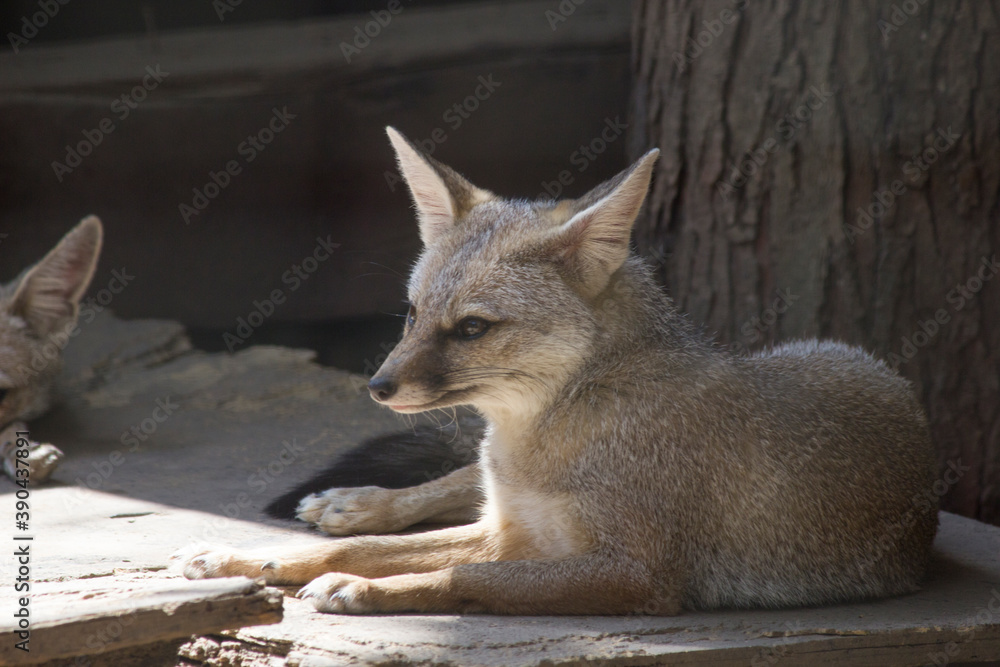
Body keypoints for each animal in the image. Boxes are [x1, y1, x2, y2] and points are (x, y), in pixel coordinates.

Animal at [173, 127, 938, 615]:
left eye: (472, 328)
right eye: (412, 313)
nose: (379, 387)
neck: (538, 445)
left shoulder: (635, 573)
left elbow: (458, 574)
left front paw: (362, 589)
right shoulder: (512, 529)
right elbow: (382, 549)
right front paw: (258, 561)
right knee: (449, 484)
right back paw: (354, 501)